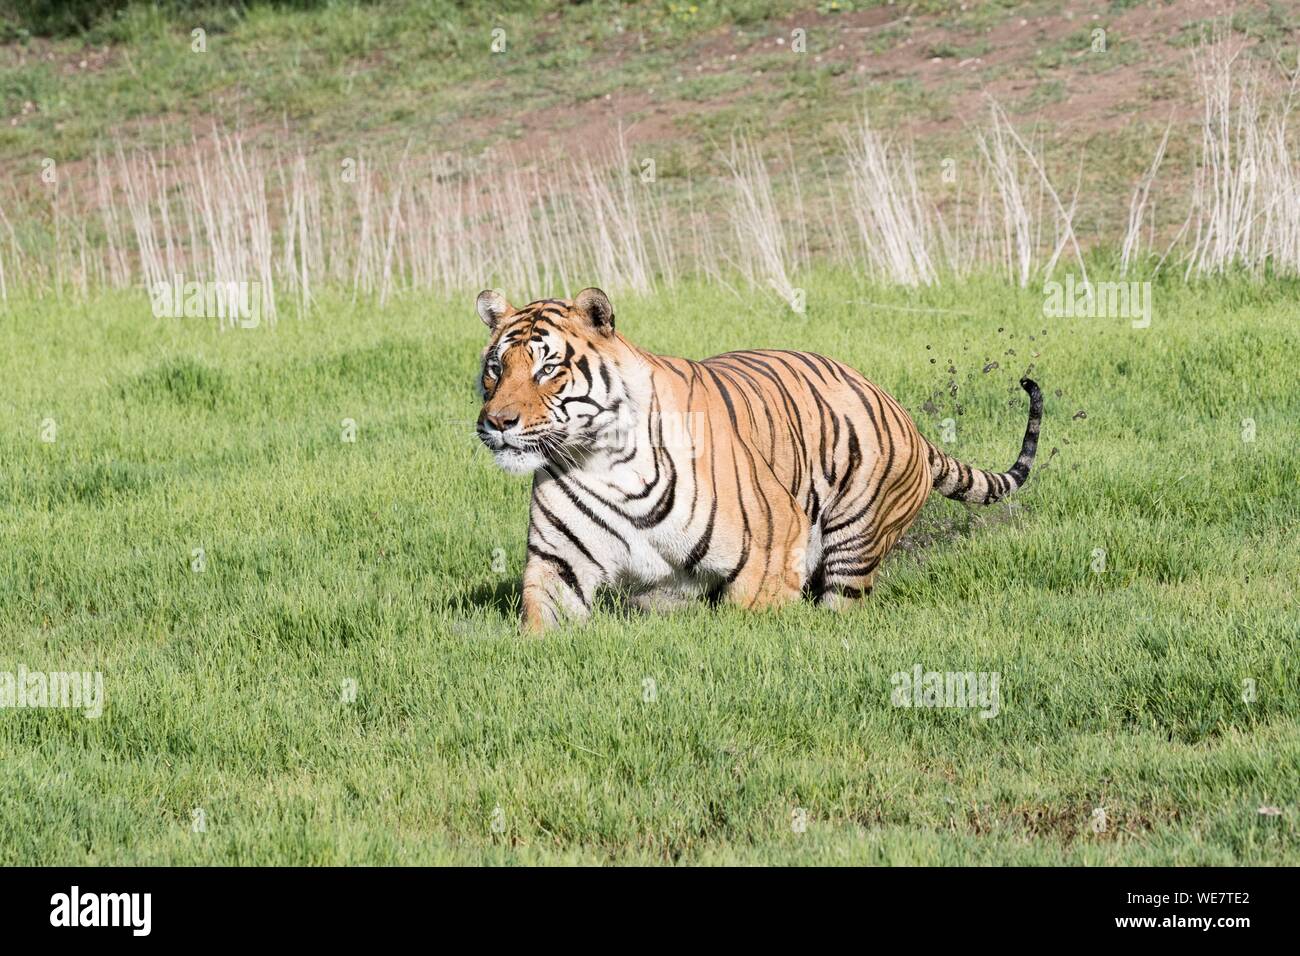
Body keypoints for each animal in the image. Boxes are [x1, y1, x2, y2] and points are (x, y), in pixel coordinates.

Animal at [473, 291, 1040, 634]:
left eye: (548, 369)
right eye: (496, 368)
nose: (498, 422)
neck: (602, 459)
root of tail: (909, 422)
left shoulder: (773, 543)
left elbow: (751, 618)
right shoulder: (558, 564)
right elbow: (542, 624)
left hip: (854, 545)